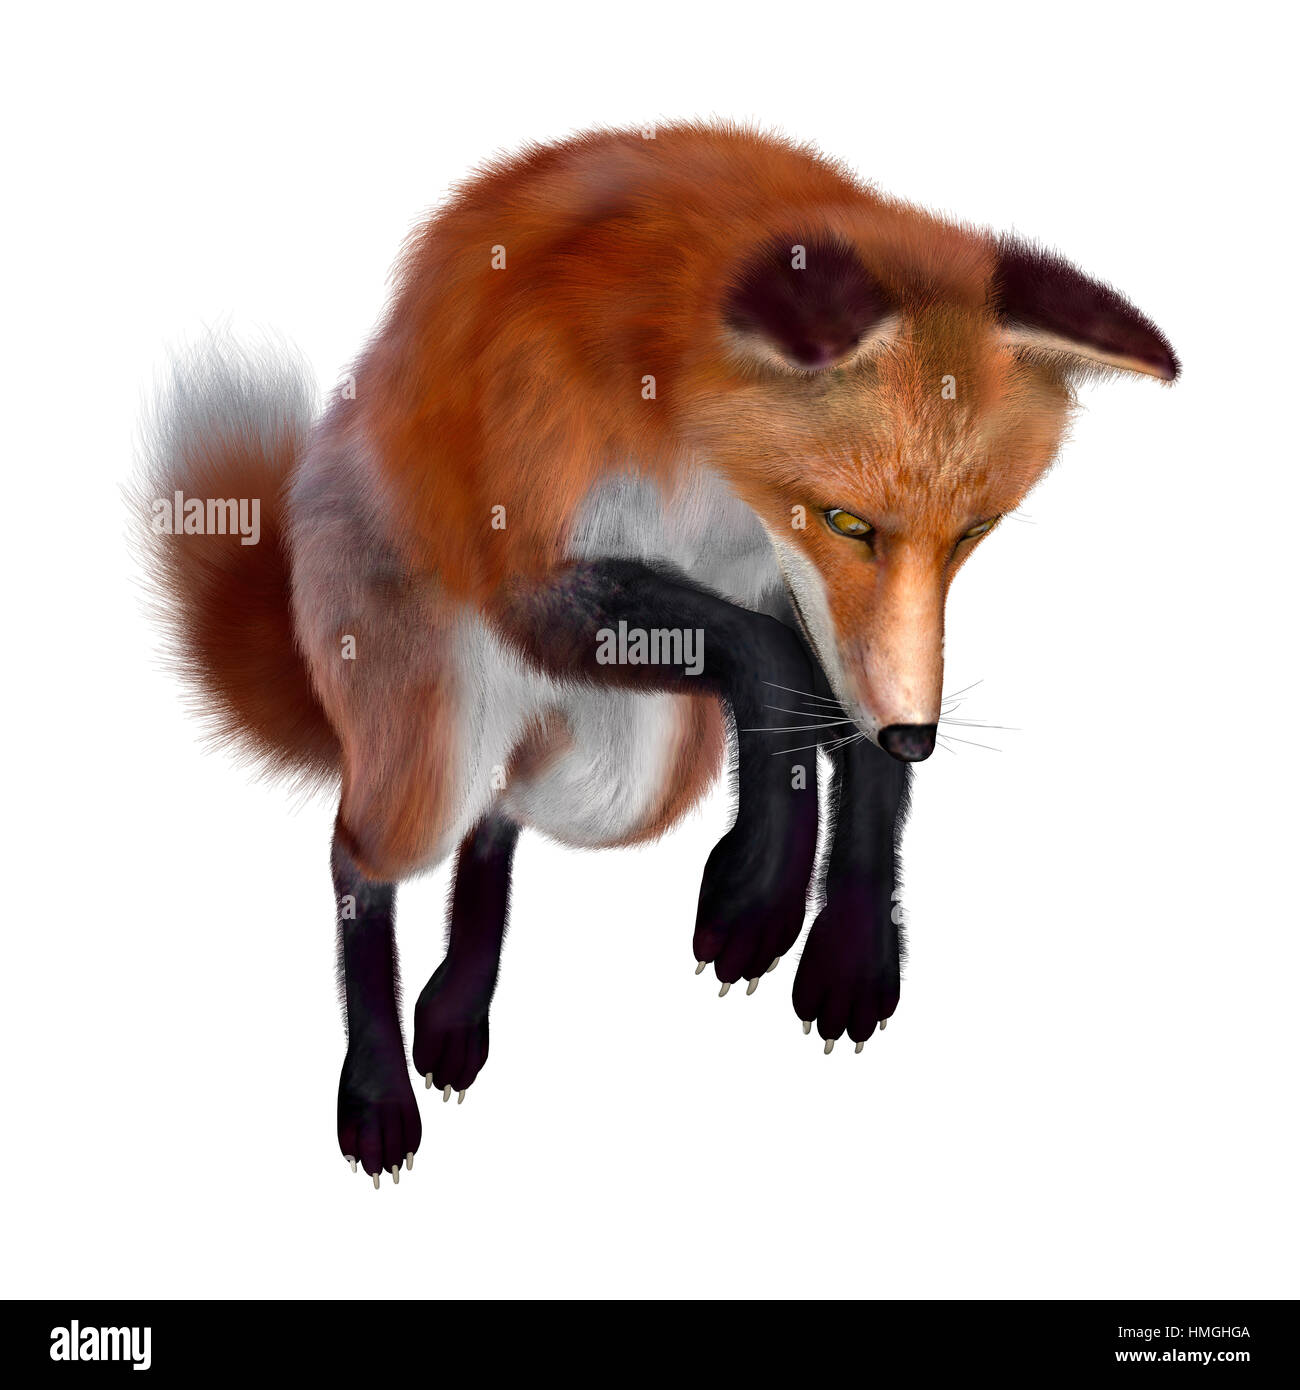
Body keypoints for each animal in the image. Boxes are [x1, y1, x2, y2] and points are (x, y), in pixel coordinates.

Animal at [134, 122, 1179, 1187]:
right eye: (848, 521)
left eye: (973, 532)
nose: (919, 737)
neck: (692, 460)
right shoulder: (537, 574)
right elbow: (773, 669)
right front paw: (762, 895)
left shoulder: (779, 585)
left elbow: (826, 717)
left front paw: (845, 941)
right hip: (435, 755)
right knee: (361, 858)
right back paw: (380, 1086)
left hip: (629, 779)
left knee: (504, 814)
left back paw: (458, 1008)